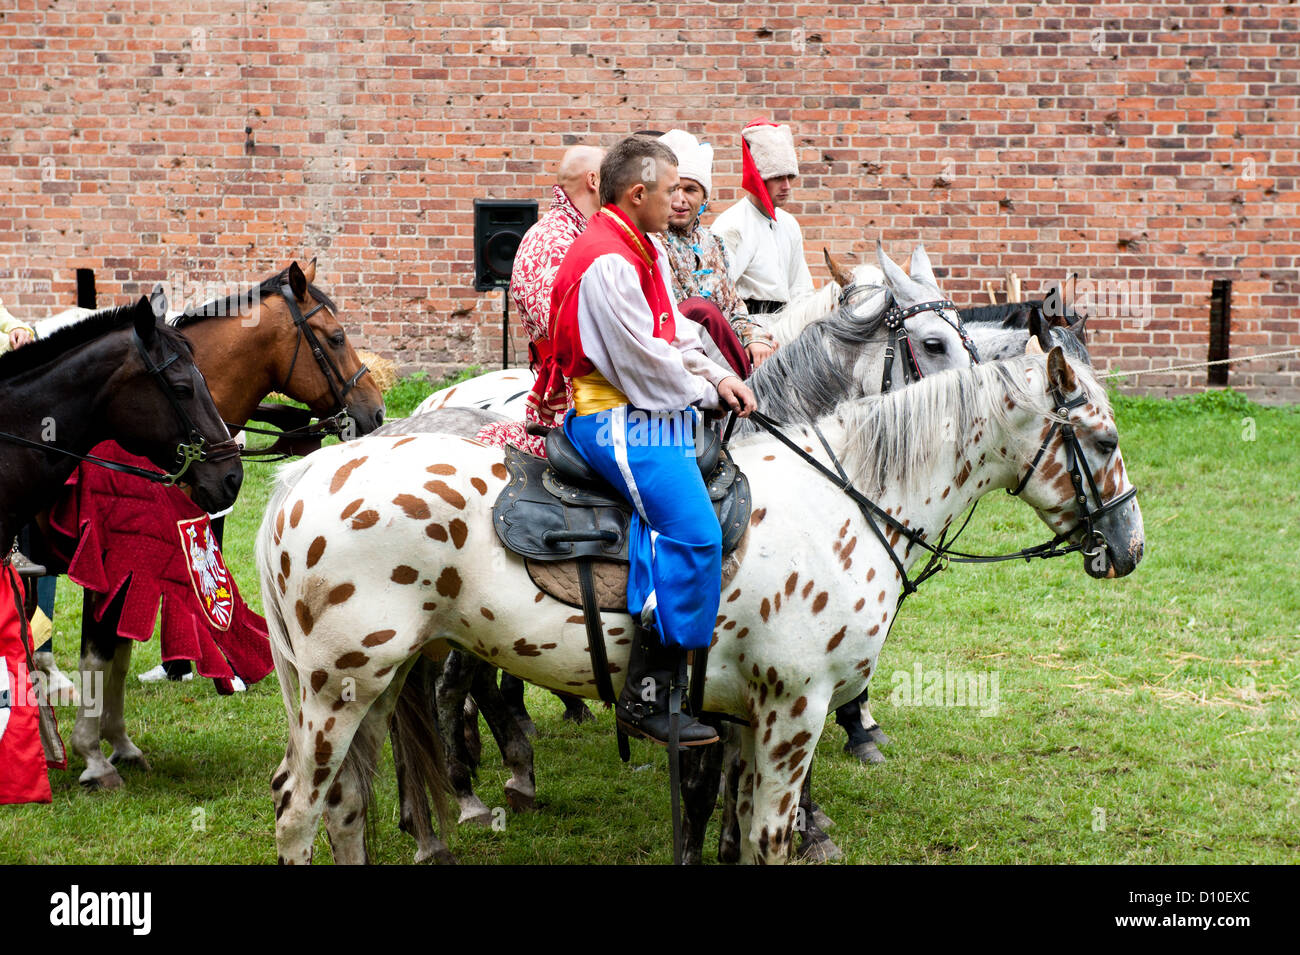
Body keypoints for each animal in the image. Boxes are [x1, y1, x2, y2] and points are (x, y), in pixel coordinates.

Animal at [32, 260, 386, 790]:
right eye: (337, 337)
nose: (375, 411)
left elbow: (117, 656)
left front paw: (120, 743)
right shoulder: (111, 567)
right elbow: (98, 654)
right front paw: (92, 755)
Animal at [258, 343, 1143, 864]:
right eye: (1102, 440)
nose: (1131, 545)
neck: (847, 499)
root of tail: (310, 472)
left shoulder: (746, 716)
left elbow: (735, 830)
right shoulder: (795, 709)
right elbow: (771, 836)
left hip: (375, 684)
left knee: (345, 808)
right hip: (340, 689)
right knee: (299, 811)